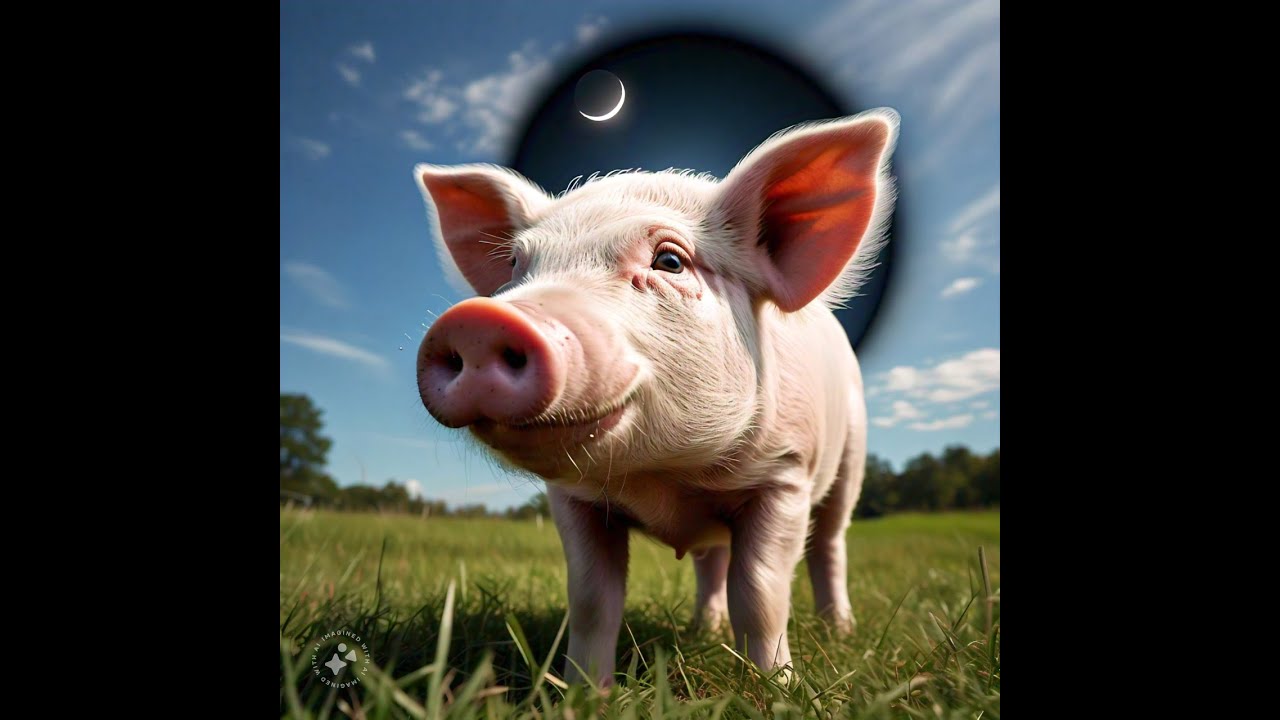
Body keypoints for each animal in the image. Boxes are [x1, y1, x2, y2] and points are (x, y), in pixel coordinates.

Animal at [414, 108, 898, 686]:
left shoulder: (786, 472)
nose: (478, 320)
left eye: (670, 261)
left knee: (829, 544)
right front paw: (584, 692)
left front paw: (776, 690)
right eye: (514, 265)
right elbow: (592, 599)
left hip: (851, 455)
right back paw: (703, 631)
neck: (670, 480)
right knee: (712, 561)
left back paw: (838, 631)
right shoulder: (572, 496)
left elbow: (760, 594)